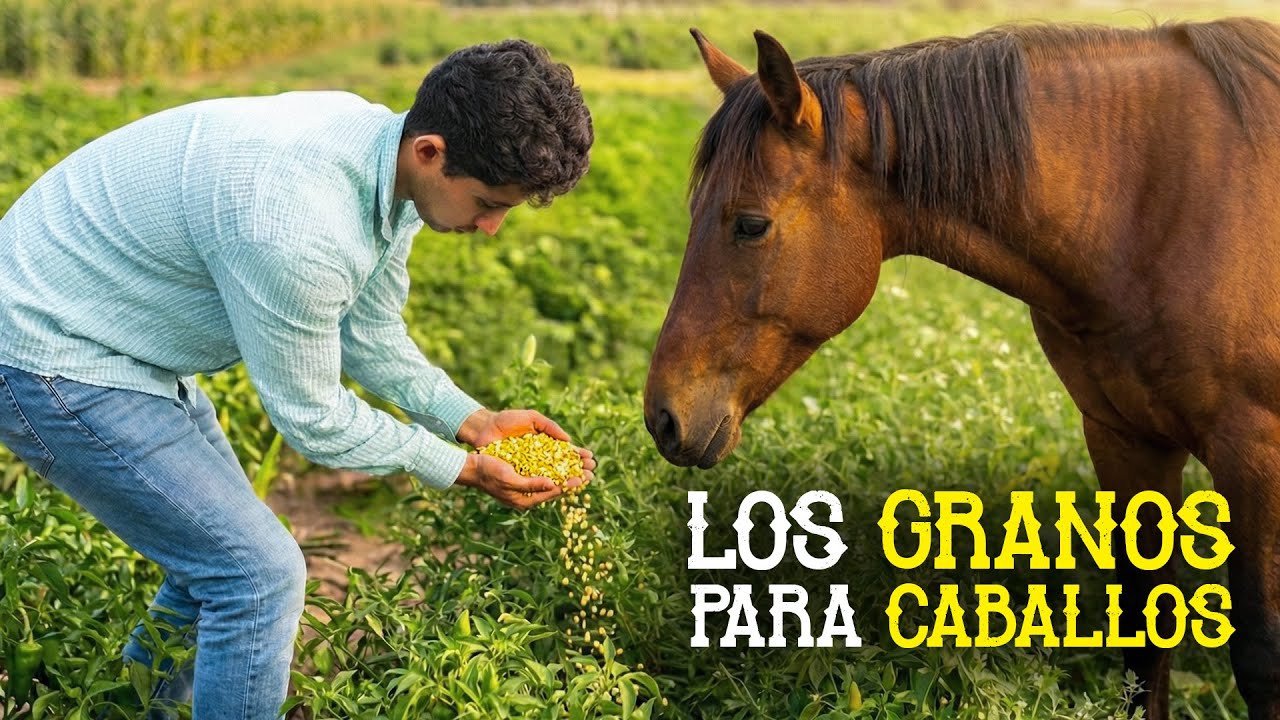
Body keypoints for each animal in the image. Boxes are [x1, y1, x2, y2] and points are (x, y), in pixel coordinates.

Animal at [642, 18, 1280, 720]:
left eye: (751, 225)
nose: (664, 416)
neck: (1157, 205)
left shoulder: (1255, 454)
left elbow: (1259, 654)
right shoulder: (1127, 439)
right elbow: (1144, 634)